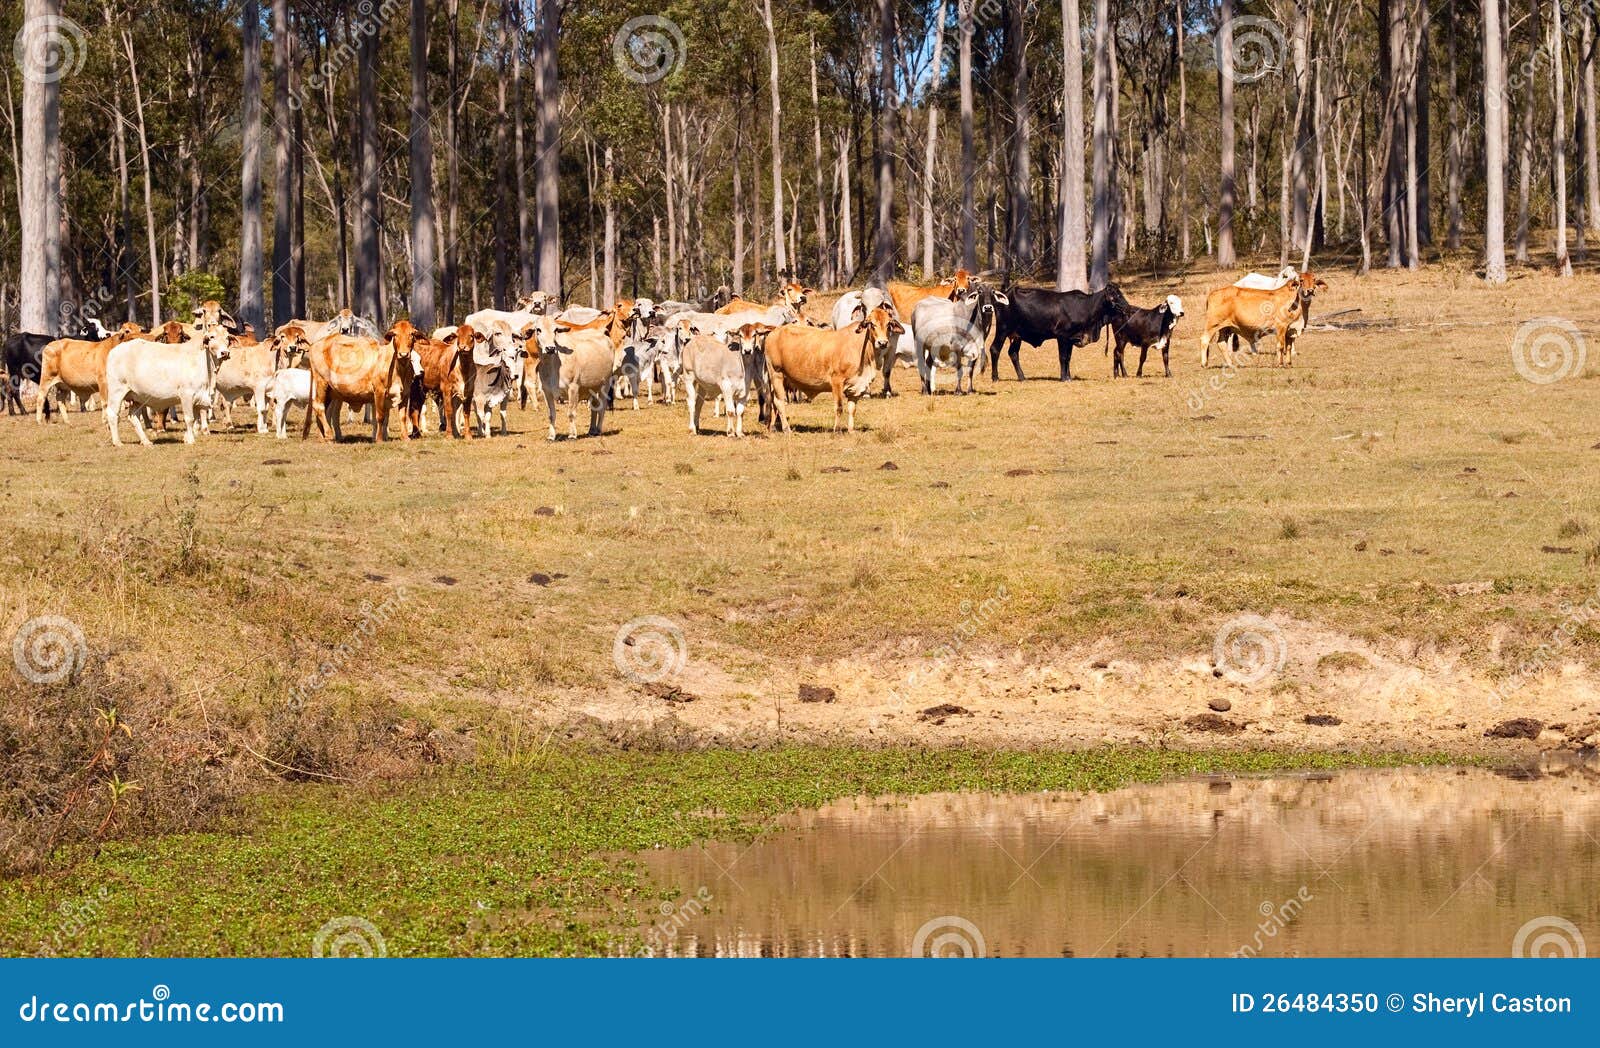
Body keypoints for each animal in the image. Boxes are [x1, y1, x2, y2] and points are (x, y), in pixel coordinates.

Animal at [102, 329, 233, 446]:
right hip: (117, 391)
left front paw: (187, 438)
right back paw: (117, 442)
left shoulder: (199, 397)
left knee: (133, 417)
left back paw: (146, 441)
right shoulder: (187, 395)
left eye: (227, 337)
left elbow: (197, 419)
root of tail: (115, 350)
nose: (225, 353)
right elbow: (189, 418)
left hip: (137, 397)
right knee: (112, 414)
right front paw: (190, 440)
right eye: (212, 337)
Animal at [763, 306, 901, 433]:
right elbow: (839, 407)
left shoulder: (856, 386)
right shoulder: (837, 382)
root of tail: (774, 331)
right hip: (776, 374)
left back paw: (772, 427)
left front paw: (851, 430)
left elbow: (852, 409)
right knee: (779, 401)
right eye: (871, 324)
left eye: (889, 324)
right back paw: (786, 429)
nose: (882, 343)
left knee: (774, 402)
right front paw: (837, 430)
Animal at [988, 283, 1131, 381]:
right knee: (995, 349)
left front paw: (1069, 377)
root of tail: (1005, 294)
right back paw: (995, 377)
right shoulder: (1062, 336)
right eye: (1116, 296)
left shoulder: (1072, 338)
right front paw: (1063, 377)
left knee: (1013, 353)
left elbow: (1068, 358)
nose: (1128, 308)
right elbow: (1063, 357)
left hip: (1017, 335)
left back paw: (1022, 377)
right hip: (1003, 329)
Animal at [1199, 272, 1328, 369]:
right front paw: (1280, 364)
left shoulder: (1291, 330)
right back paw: (1204, 364)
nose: (1310, 291)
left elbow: (1289, 347)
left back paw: (1231, 364)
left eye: (1314, 280)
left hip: (1226, 328)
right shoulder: (1281, 327)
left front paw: (1289, 364)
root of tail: (1213, 293)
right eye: (1301, 280)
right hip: (1212, 324)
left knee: (1221, 343)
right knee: (1204, 340)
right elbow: (1281, 346)